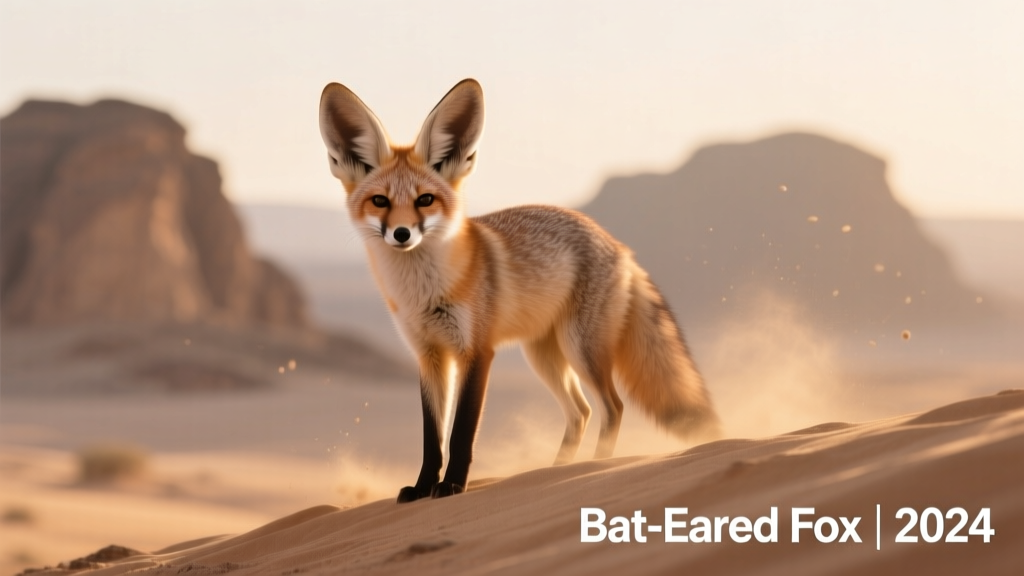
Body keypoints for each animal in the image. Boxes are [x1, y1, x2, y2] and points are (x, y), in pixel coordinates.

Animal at [318, 79, 720, 503]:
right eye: (380, 201)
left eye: (425, 200)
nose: (401, 234)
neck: (424, 292)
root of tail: (618, 245)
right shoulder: (428, 356)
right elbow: (433, 438)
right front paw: (423, 487)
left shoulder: (477, 351)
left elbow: (460, 433)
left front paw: (453, 486)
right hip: (543, 356)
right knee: (581, 412)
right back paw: (558, 469)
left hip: (581, 349)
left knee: (612, 407)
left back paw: (594, 467)